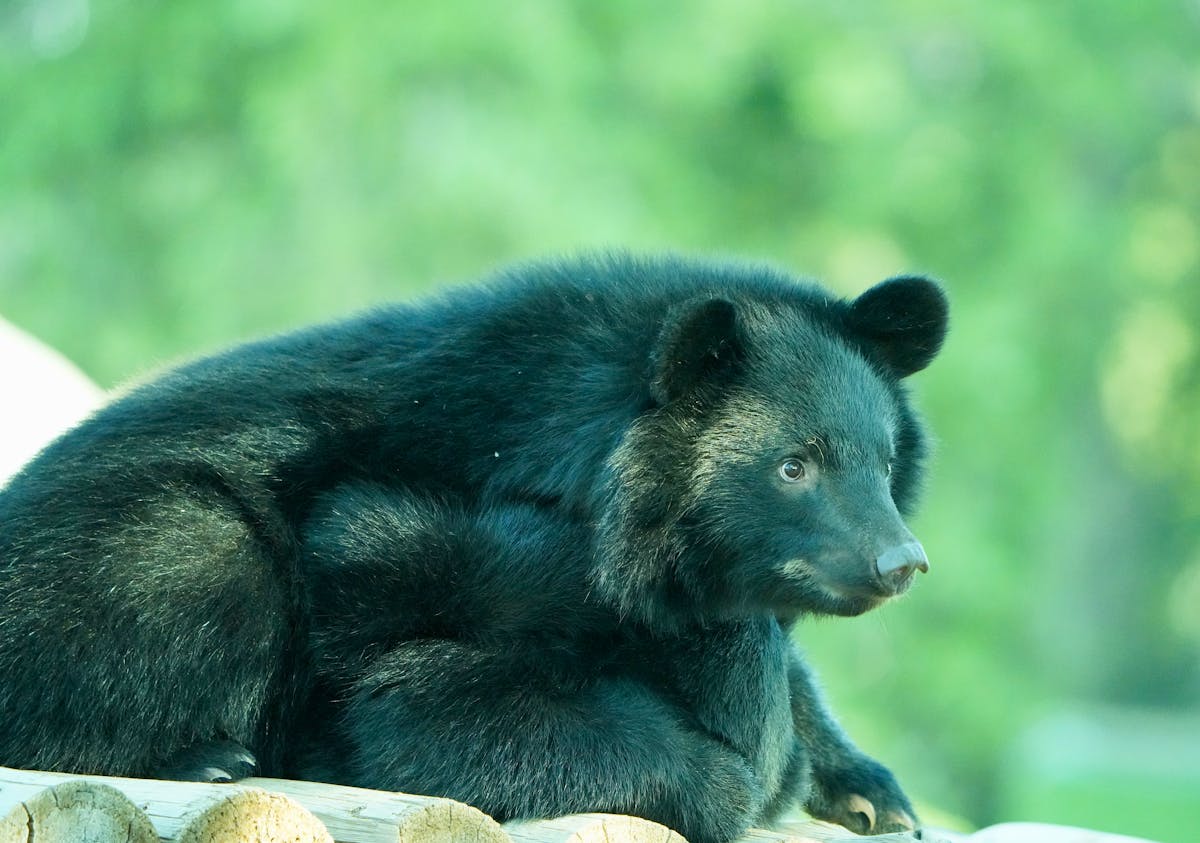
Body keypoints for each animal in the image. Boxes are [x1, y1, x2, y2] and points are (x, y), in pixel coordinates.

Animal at [0, 252, 947, 842]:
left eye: (884, 460)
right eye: (793, 465)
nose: (901, 562)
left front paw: (871, 792)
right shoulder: (429, 549)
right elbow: (412, 698)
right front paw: (725, 772)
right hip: (165, 547)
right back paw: (207, 758)